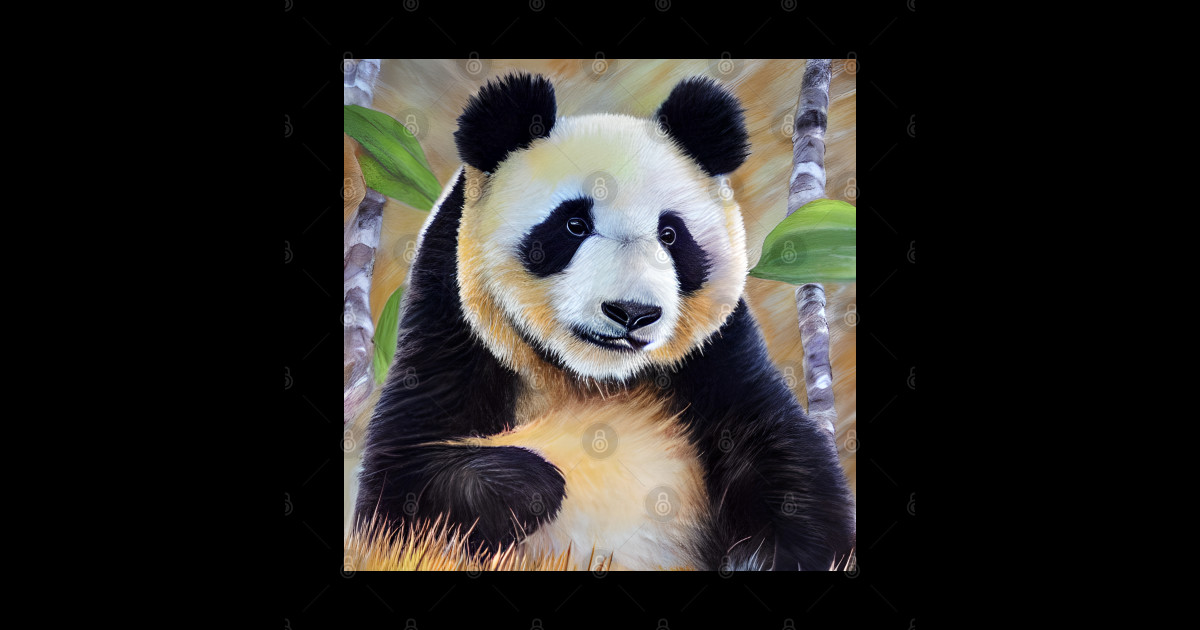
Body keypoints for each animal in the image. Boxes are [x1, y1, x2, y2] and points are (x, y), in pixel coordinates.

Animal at [355, 72, 855, 571]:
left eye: (671, 235)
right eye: (574, 225)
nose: (632, 312)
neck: (591, 376)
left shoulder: (717, 353)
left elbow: (783, 456)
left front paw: (759, 559)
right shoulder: (450, 329)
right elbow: (397, 489)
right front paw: (533, 481)